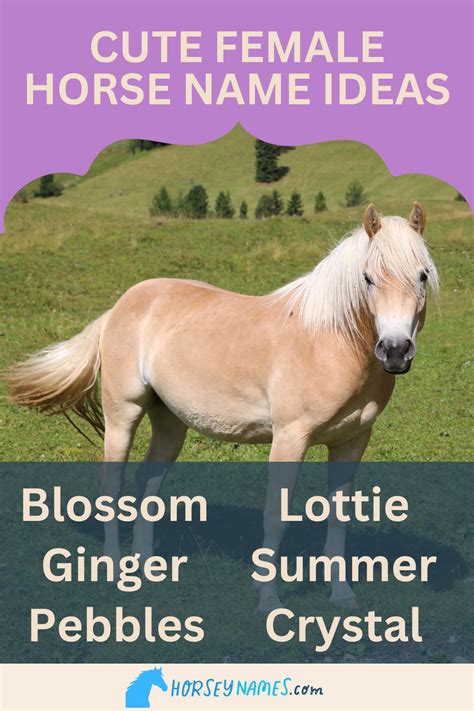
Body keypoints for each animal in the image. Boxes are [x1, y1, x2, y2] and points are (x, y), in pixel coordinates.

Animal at [6, 202, 438, 612]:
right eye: (368, 278)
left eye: (422, 275)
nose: (395, 351)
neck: (327, 342)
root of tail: (120, 306)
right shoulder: (290, 437)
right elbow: (275, 516)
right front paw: (269, 600)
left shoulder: (351, 442)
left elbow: (340, 517)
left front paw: (343, 595)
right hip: (123, 414)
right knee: (112, 486)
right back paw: (116, 568)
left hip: (170, 423)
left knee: (147, 482)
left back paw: (144, 566)